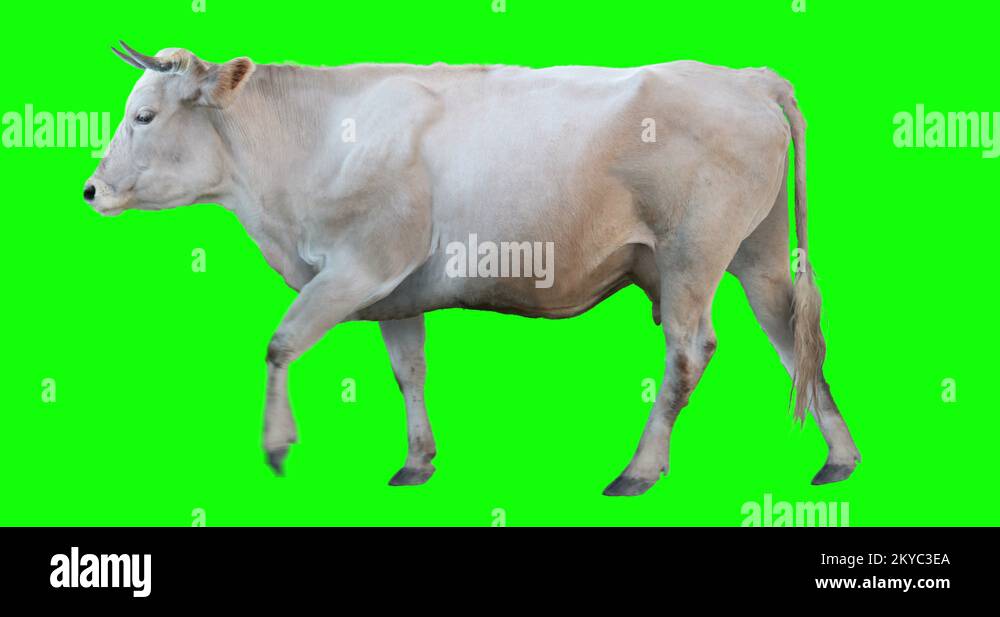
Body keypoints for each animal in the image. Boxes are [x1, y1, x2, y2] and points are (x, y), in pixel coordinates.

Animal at [84, 42, 860, 496]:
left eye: (144, 116)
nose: (91, 190)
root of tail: (745, 76)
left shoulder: (362, 264)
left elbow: (280, 343)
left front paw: (277, 446)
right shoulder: (395, 292)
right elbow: (409, 371)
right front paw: (417, 460)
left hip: (692, 253)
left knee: (690, 349)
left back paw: (639, 470)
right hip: (758, 253)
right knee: (793, 336)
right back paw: (839, 457)